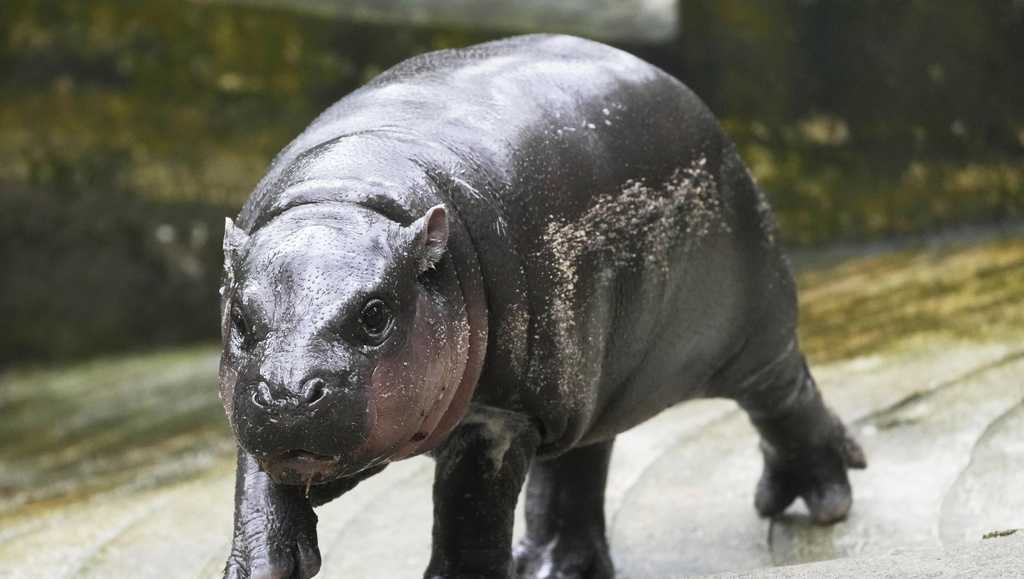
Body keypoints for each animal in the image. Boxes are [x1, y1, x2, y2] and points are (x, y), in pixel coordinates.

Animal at [218, 34, 866, 579]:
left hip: (747, 330)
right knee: (578, 466)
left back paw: (822, 499)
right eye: (241, 320)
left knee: (785, 395)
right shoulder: (257, 413)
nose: (289, 394)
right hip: (591, 379)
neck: (347, 197)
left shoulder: (503, 416)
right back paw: (554, 567)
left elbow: (470, 518)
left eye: (375, 315)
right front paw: (263, 566)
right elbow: (260, 494)